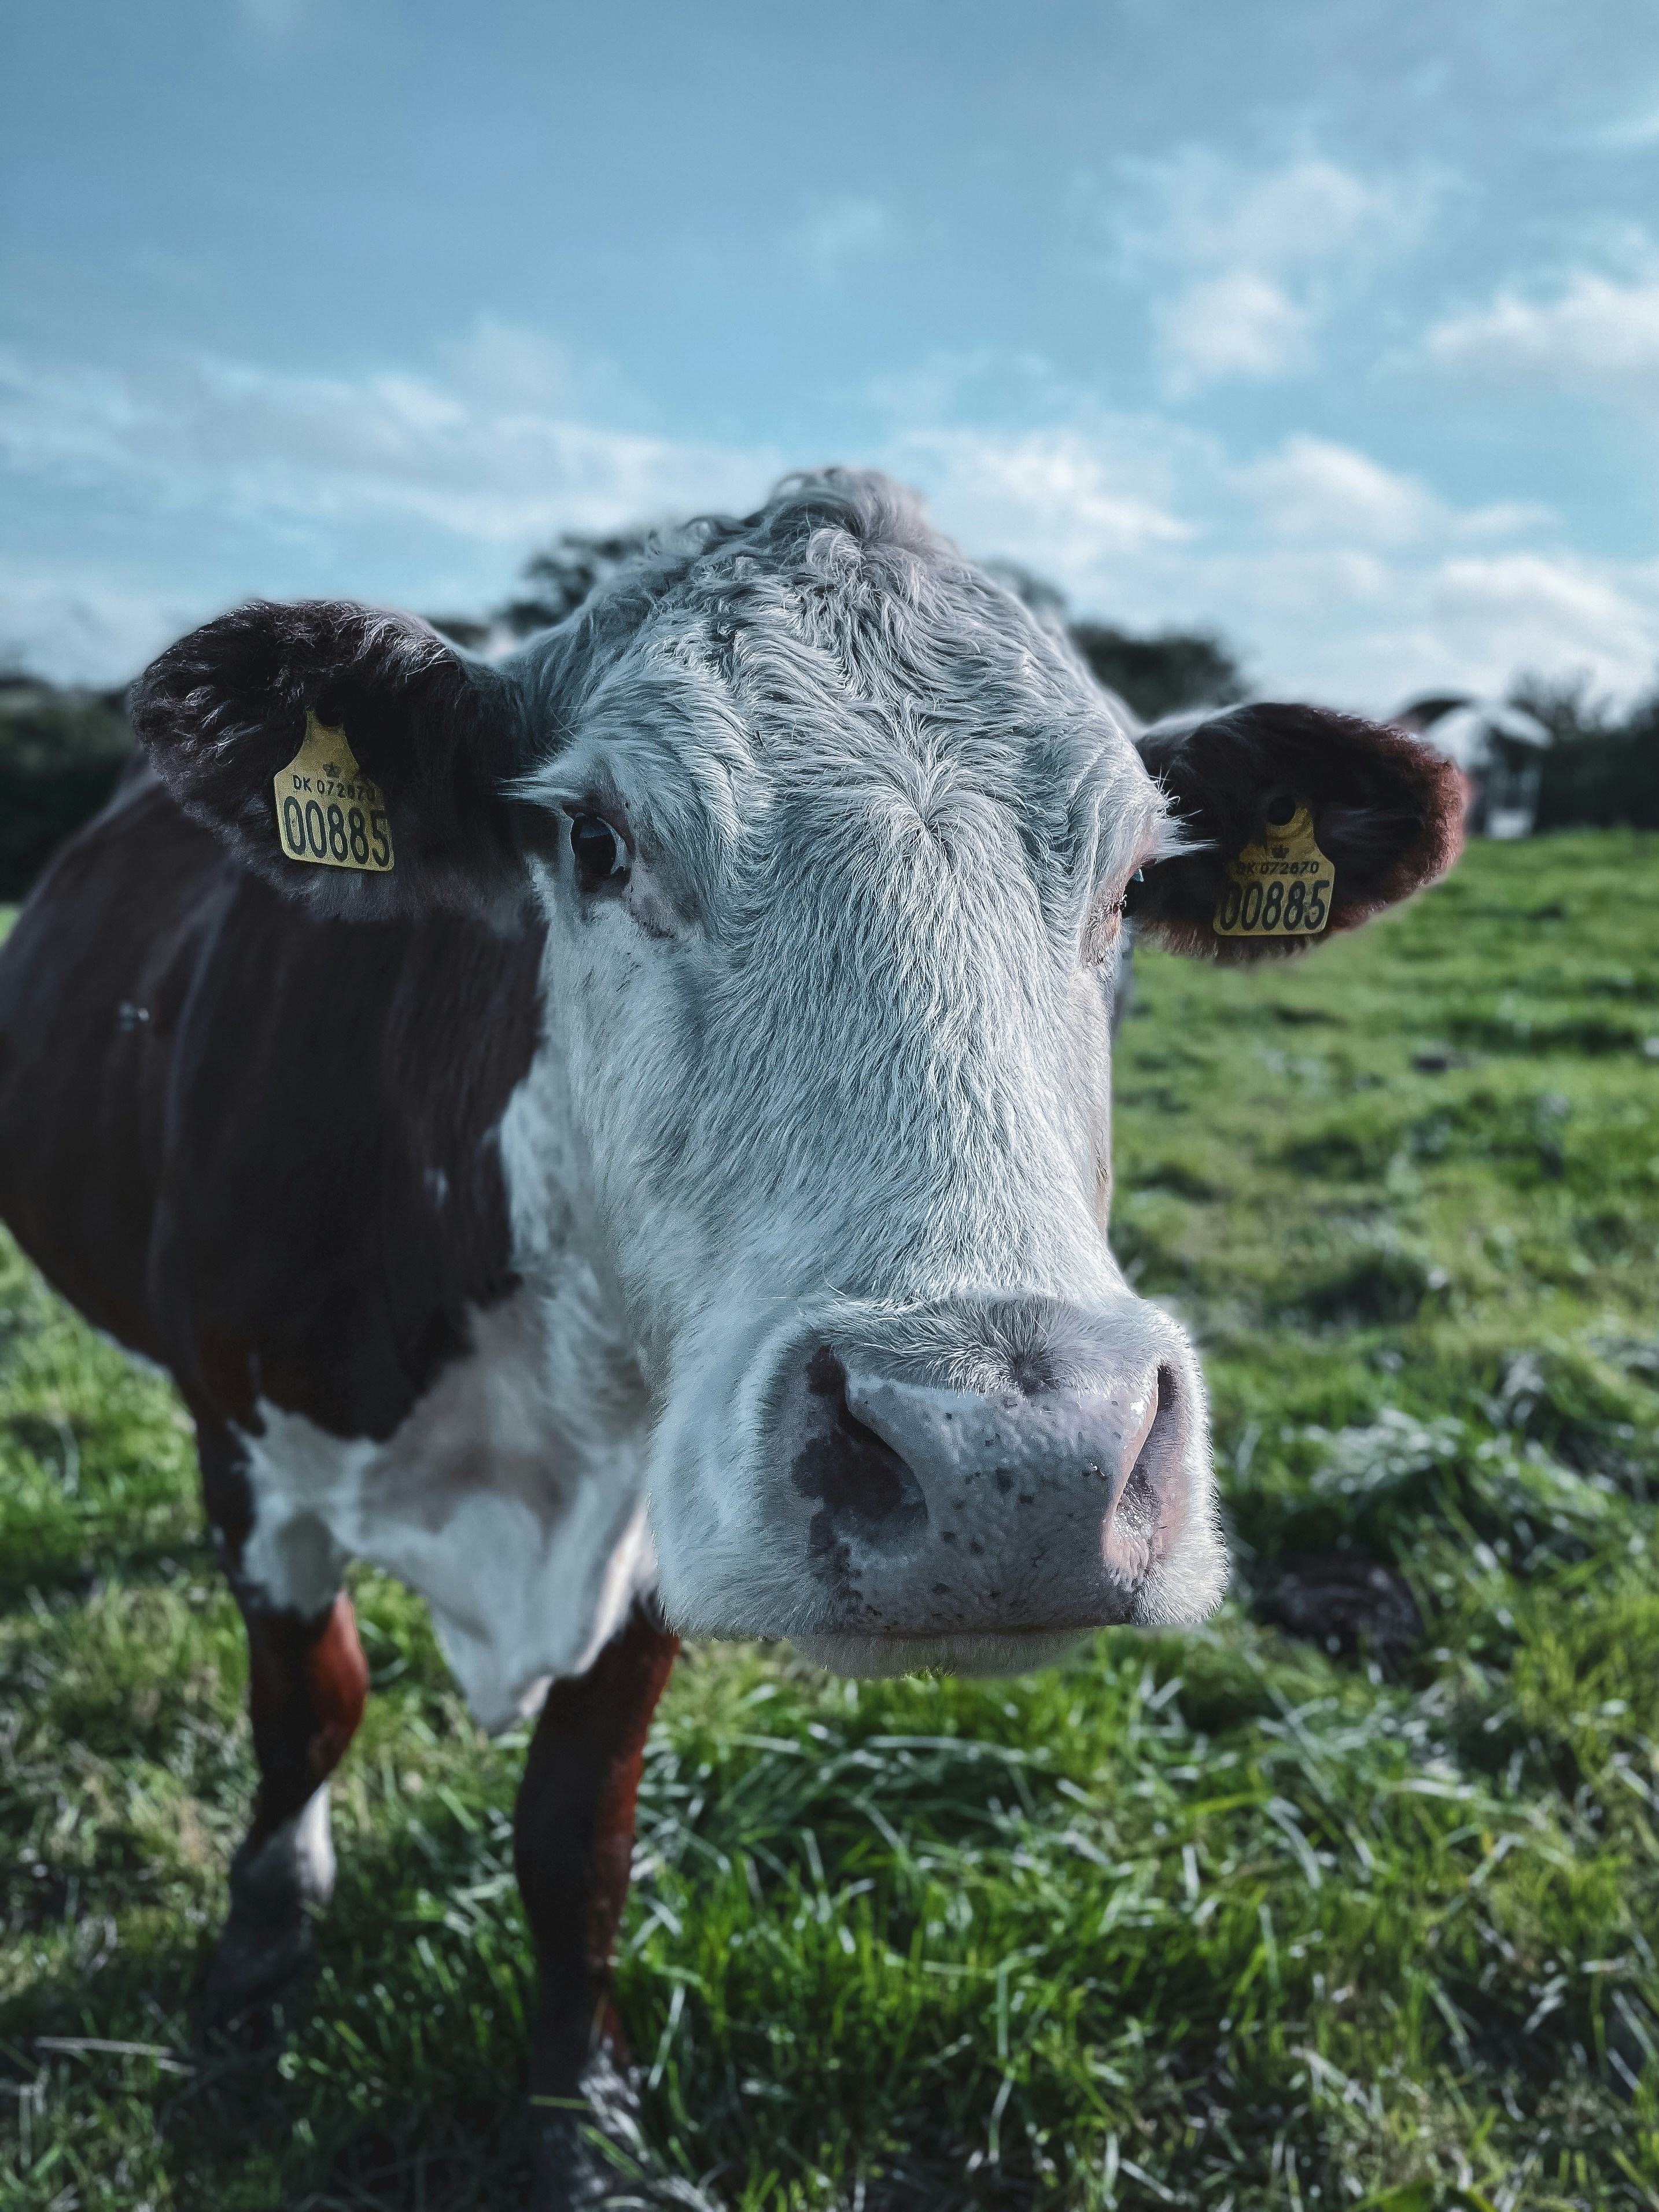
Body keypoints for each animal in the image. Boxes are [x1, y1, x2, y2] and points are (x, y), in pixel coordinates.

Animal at [0, 471, 1461, 2206]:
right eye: (597, 839)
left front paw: (578, 2113)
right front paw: (259, 1955)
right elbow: (312, 1705)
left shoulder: (663, 1511)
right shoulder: (251, 1440)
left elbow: (577, 1828)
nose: (1014, 1465)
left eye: (1123, 884)